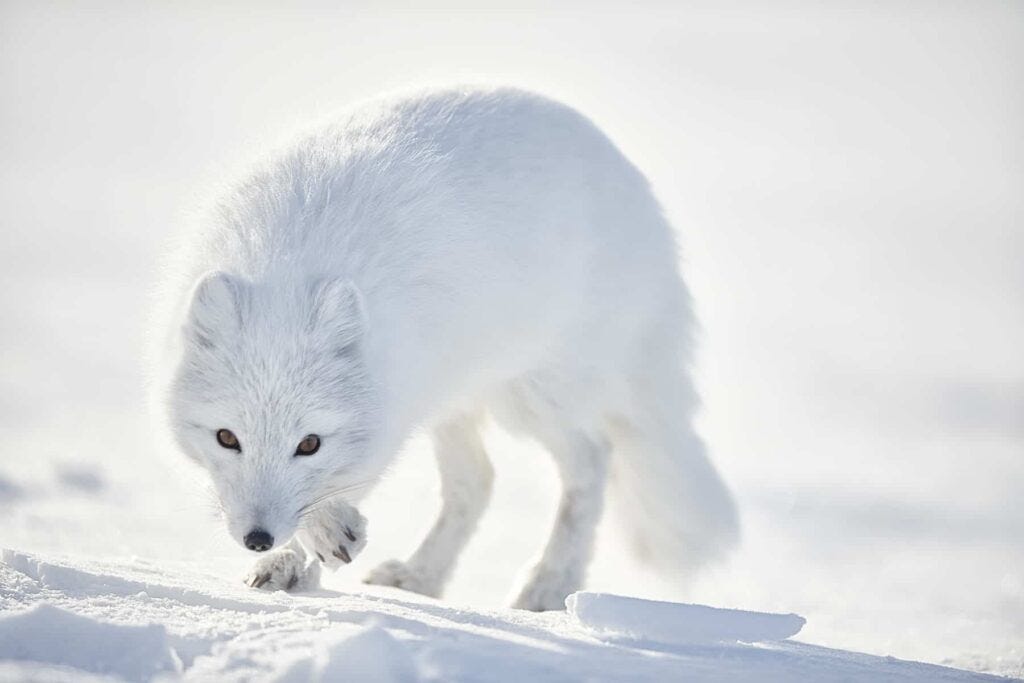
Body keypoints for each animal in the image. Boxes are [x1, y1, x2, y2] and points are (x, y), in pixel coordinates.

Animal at [153, 86, 738, 611]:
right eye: (227, 438)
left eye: (310, 444)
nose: (258, 538)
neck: (288, 266)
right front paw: (292, 558)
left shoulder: (392, 408)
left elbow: (336, 487)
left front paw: (311, 546)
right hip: (455, 401)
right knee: (478, 483)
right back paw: (420, 576)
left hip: (534, 395)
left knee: (592, 465)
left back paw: (548, 585)